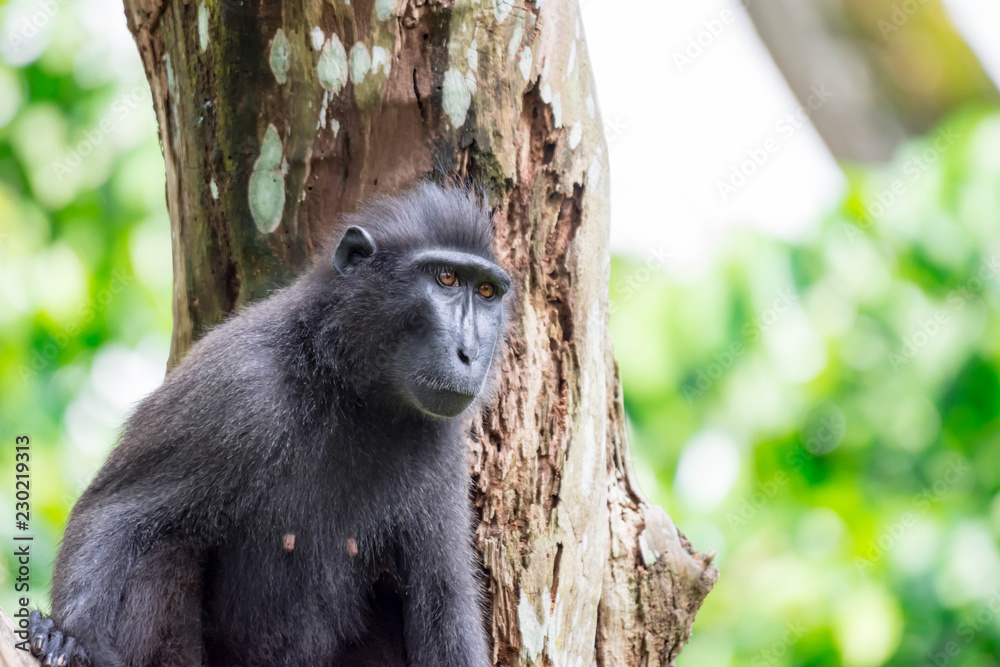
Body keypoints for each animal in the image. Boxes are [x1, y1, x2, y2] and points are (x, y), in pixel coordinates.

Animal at [28, 182, 510, 667]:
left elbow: (443, 602)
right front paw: (71, 637)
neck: (351, 393)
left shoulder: (443, 447)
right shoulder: (236, 384)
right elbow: (114, 514)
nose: (471, 353)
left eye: (486, 291)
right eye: (445, 279)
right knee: (162, 548)